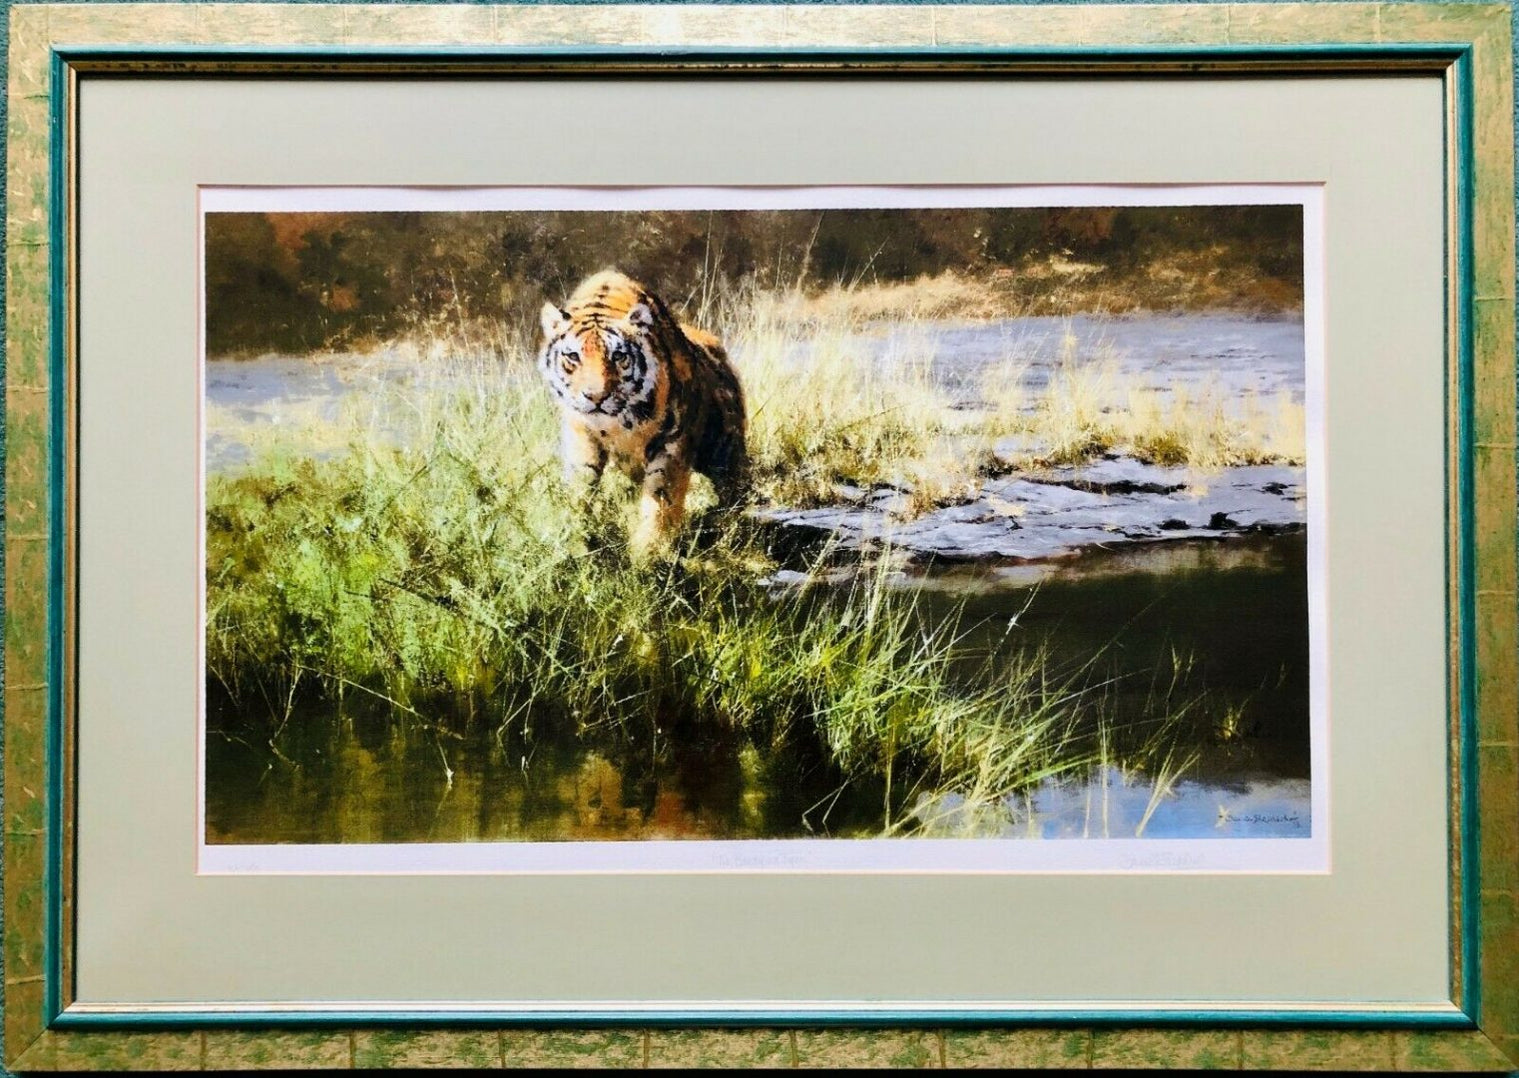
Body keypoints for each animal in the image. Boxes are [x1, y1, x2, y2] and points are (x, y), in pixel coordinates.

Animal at [538, 270, 748, 550]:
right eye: (573, 356)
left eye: (618, 356)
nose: (595, 396)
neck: (616, 422)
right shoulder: (581, 434)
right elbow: (580, 488)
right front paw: (575, 541)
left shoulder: (672, 439)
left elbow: (661, 495)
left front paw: (649, 550)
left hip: (725, 448)